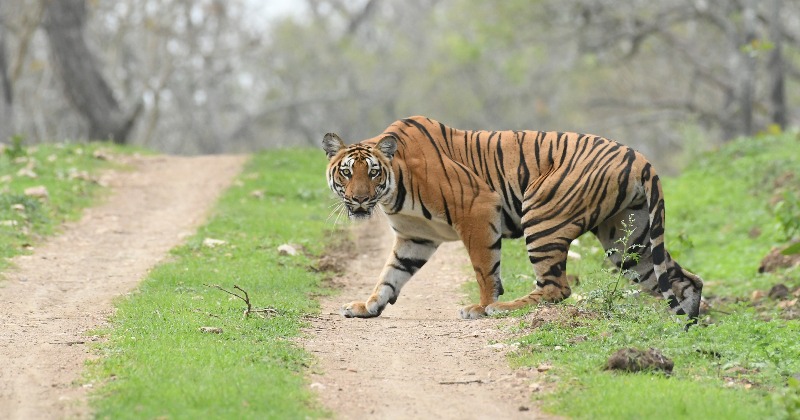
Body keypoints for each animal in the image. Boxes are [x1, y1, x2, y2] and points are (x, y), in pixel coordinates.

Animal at [323, 116, 703, 323]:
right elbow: (390, 275)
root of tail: (639, 156)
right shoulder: (415, 237)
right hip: (628, 241)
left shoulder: (477, 209)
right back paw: (684, 326)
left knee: (557, 288)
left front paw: (480, 307)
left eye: (373, 173)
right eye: (346, 172)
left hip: (543, 216)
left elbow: (484, 268)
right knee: (686, 280)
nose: (359, 199)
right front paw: (368, 306)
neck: (392, 190)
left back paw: (502, 309)